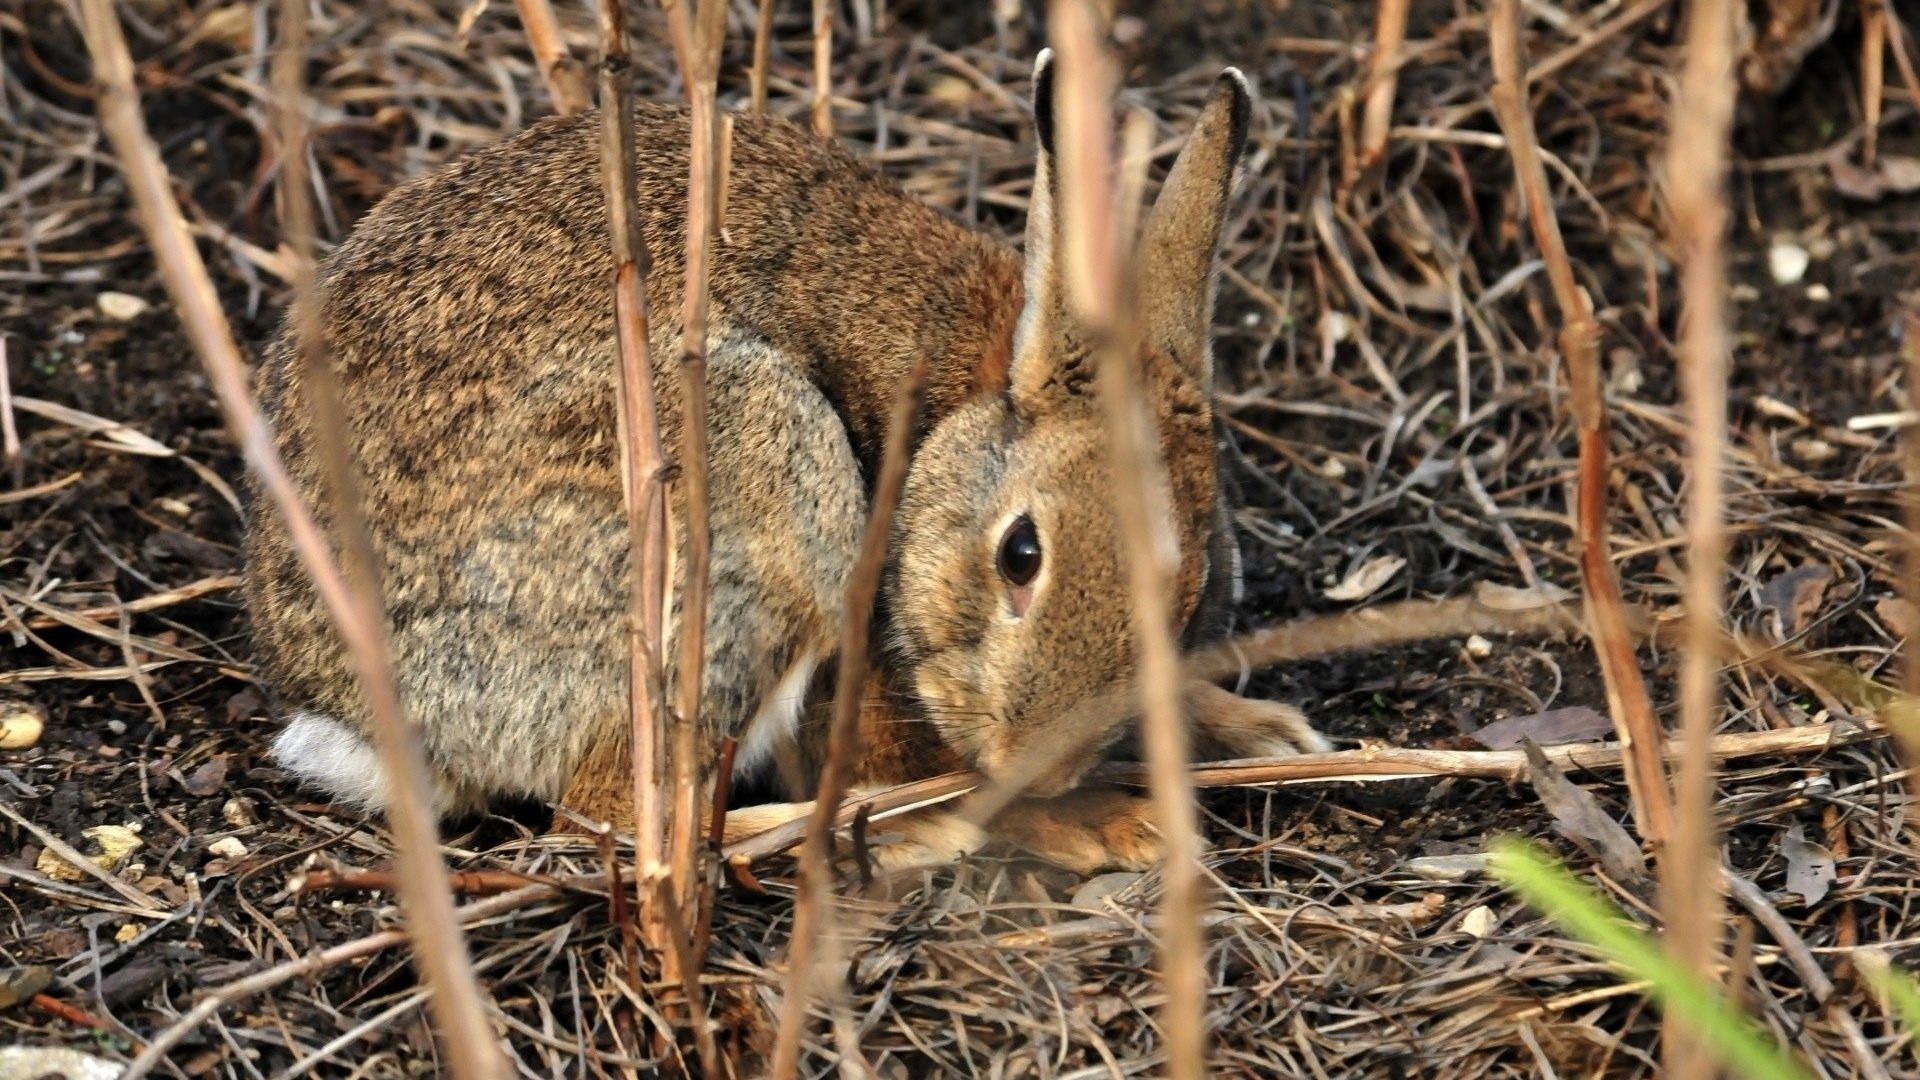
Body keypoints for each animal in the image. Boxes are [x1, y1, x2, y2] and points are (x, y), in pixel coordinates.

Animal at [246, 51, 1327, 874]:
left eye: (1191, 600)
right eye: (1020, 554)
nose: (1044, 763)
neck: (956, 407)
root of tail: (351, 699)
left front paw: (1264, 731)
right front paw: (1102, 823)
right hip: (757, 476)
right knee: (617, 814)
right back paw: (864, 834)